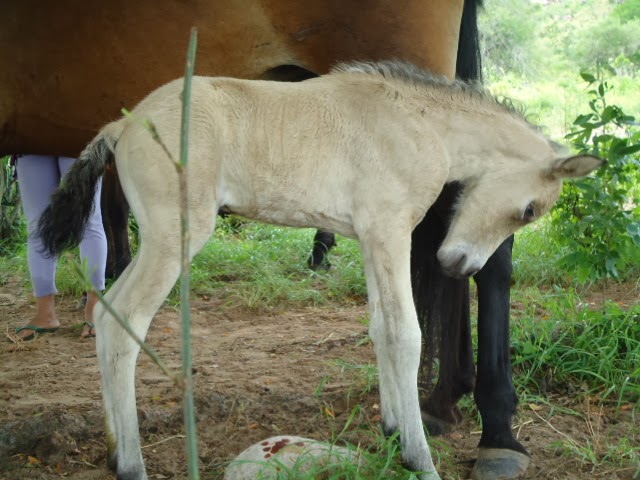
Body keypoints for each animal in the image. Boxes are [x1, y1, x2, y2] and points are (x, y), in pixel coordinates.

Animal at [2, 1, 535, 478]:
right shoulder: (387, 231)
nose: (457, 261)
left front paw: (394, 431)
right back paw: (131, 464)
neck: (413, 117)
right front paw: (417, 456)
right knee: (124, 322)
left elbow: (383, 327)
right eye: (528, 210)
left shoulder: (374, 235)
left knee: (109, 311)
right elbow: (403, 333)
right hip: (174, 236)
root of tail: (122, 124)